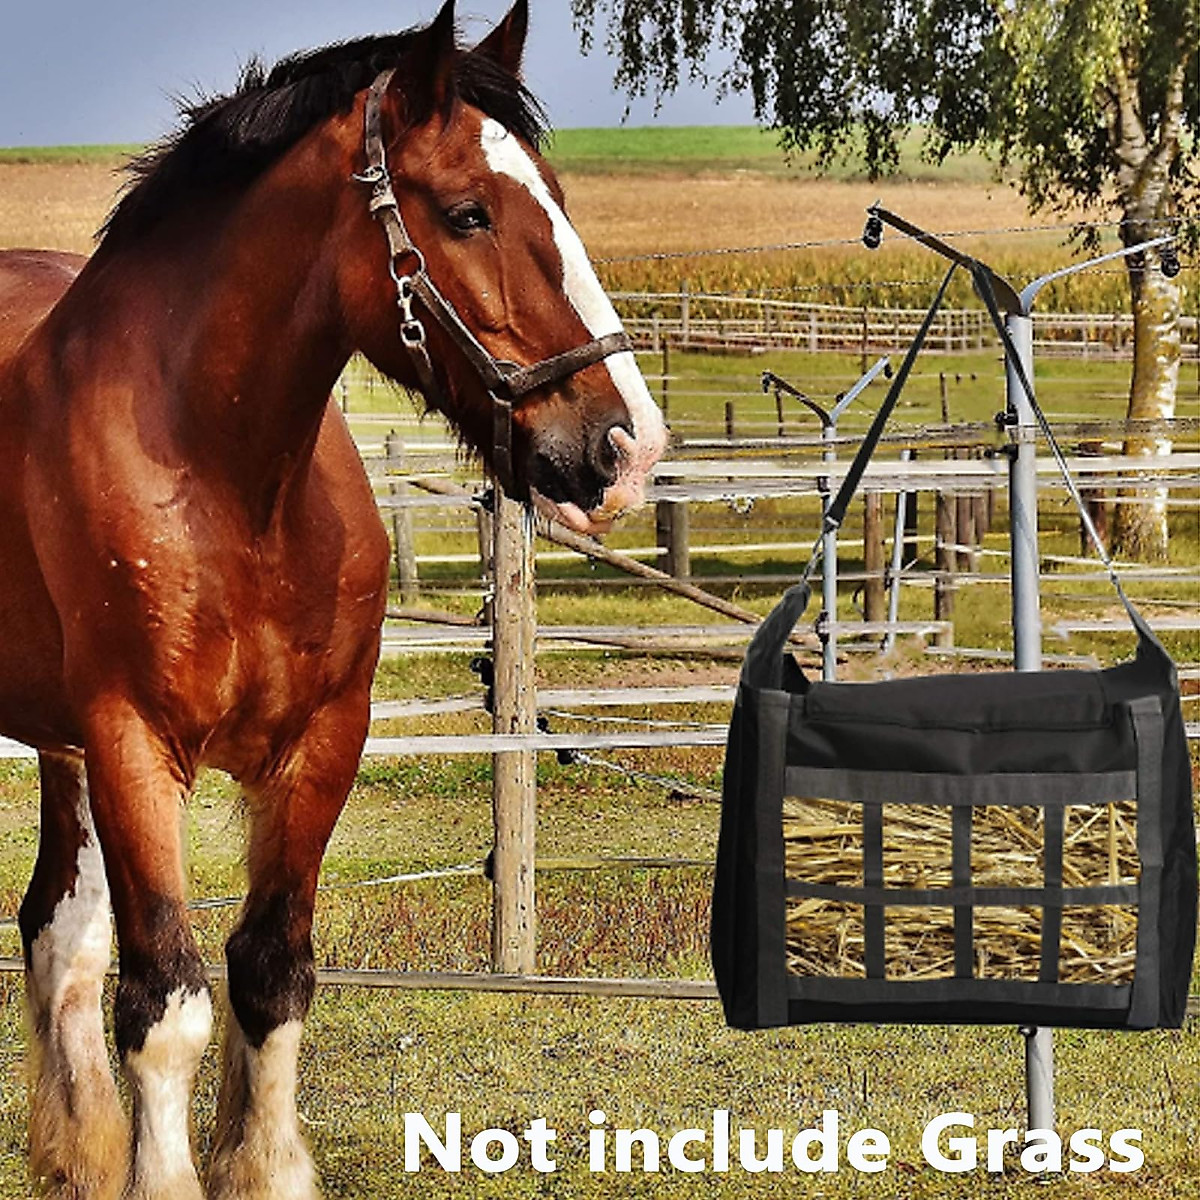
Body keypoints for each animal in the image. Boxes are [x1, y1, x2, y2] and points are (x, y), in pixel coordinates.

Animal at [0, 3, 667, 1196]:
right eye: (468, 212)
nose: (625, 449)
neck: (231, 483)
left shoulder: (320, 743)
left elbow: (269, 974)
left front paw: (258, 1166)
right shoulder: (132, 745)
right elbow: (164, 1001)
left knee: (58, 929)